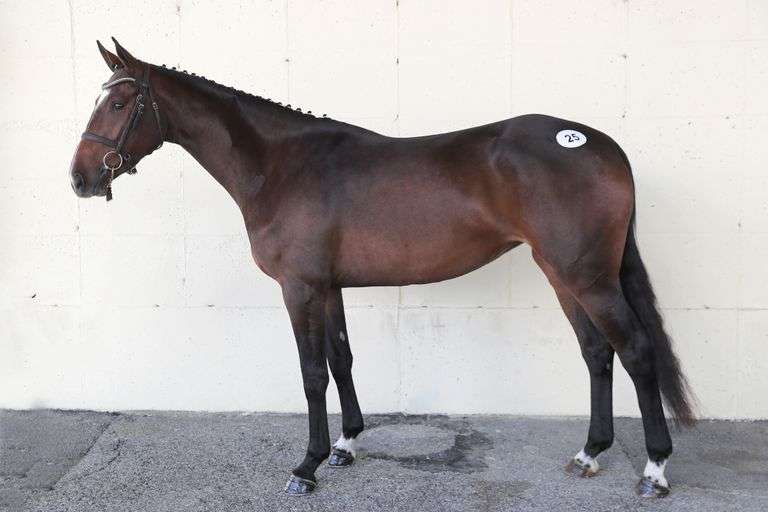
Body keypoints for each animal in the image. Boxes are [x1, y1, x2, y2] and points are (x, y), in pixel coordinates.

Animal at [69, 39, 696, 498]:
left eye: (119, 104)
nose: (80, 179)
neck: (281, 165)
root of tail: (601, 145)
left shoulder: (299, 289)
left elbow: (312, 373)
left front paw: (307, 466)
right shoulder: (329, 287)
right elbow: (342, 359)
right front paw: (346, 446)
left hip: (588, 277)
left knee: (636, 352)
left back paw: (654, 471)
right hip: (565, 275)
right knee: (597, 354)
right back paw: (589, 454)